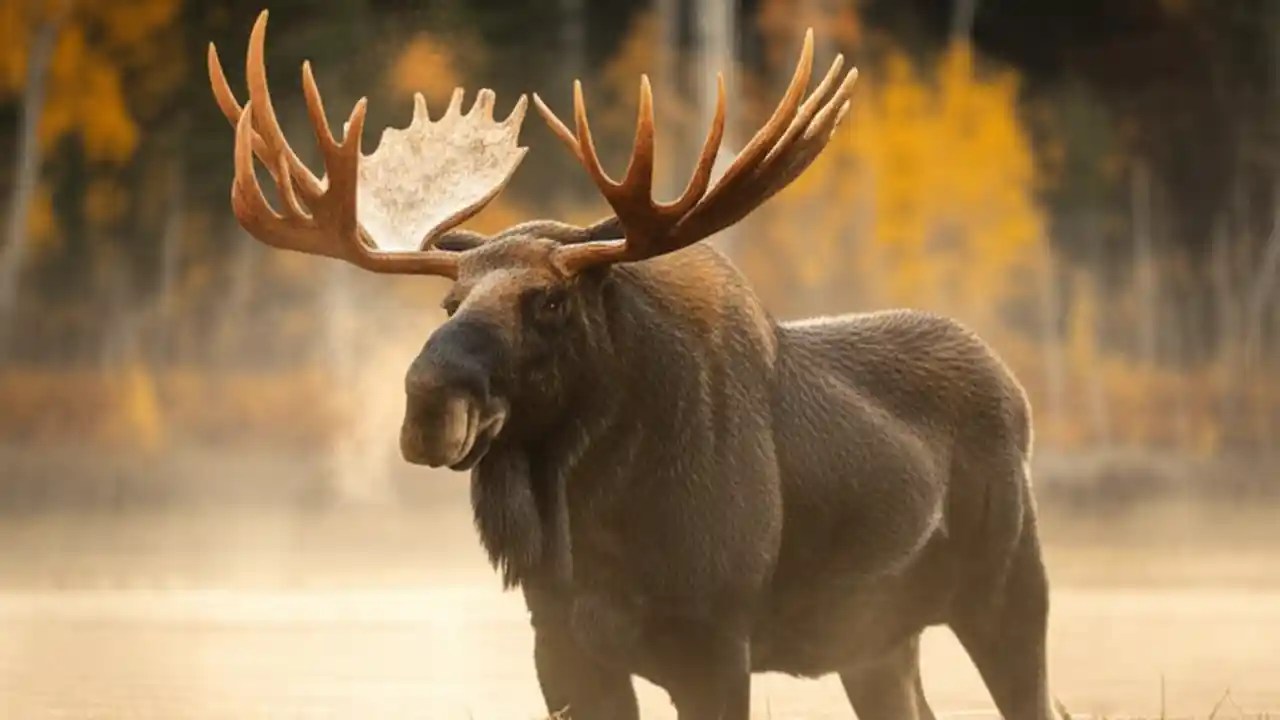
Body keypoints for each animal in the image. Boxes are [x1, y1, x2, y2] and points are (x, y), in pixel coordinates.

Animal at [208, 11, 1053, 720]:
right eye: (449, 304)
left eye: (551, 300)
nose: (427, 403)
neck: (592, 518)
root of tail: (1019, 394)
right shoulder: (561, 646)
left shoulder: (715, 645)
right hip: (876, 639)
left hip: (1009, 592)